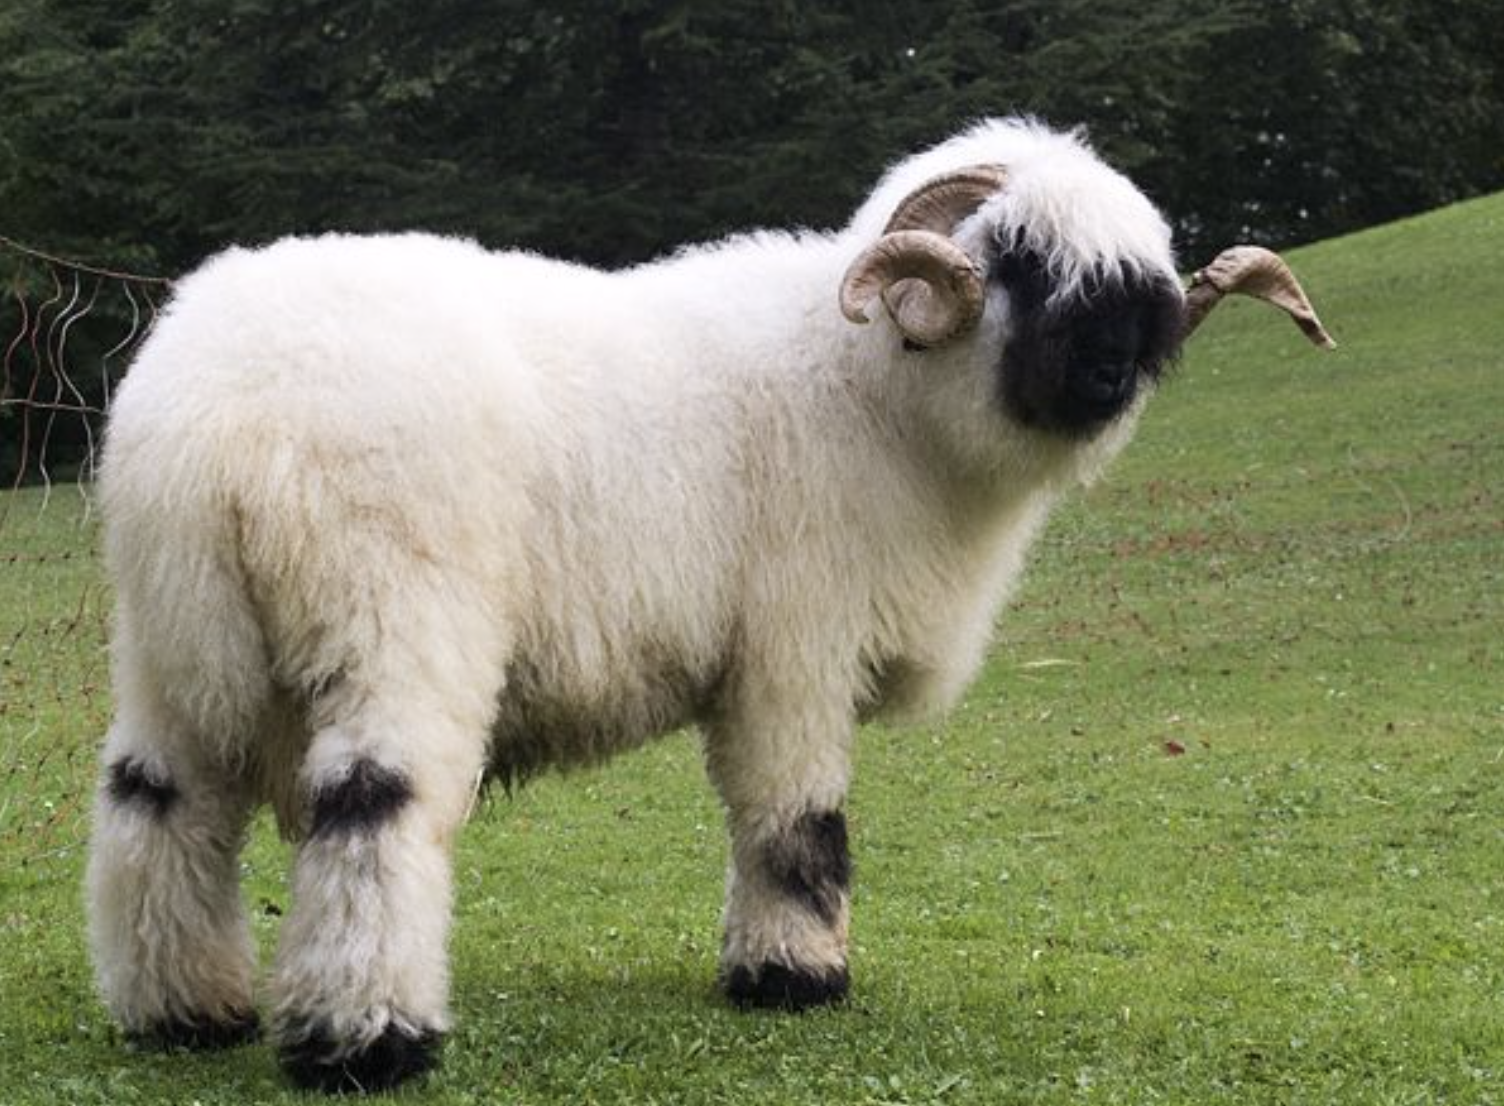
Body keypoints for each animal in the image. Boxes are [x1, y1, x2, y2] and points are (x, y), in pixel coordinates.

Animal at [86, 117, 1332, 1093]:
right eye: (1020, 258)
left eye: (1139, 285)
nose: (1112, 371)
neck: (871, 387)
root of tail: (217, 425)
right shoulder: (794, 647)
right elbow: (796, 823)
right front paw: (793, 975)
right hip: (389, 621)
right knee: (370, 811)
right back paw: (368, 1040)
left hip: (166, 643)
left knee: (156, 808)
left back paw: (184, 1015)